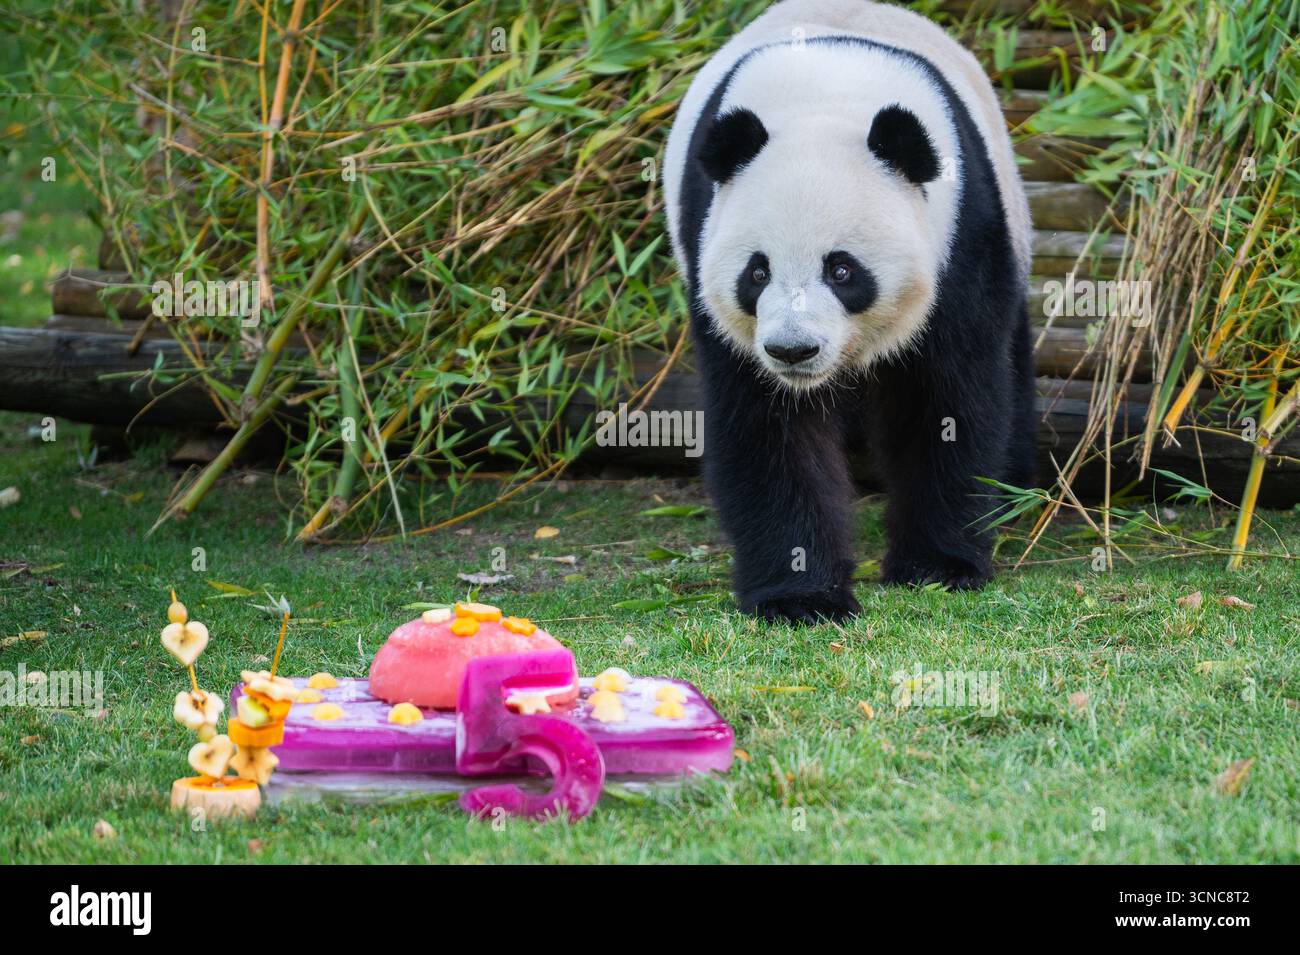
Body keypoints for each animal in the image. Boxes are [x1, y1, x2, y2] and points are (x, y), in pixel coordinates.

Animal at [663, 0, 1036, 624]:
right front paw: (800, 595)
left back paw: (1017, 491)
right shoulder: (707, 246)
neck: (824, 92)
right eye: (757, 272)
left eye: (841, 270)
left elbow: (947, 399)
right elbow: (768, 428)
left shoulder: (963, 231)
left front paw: (937, 566)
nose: (793, 350)